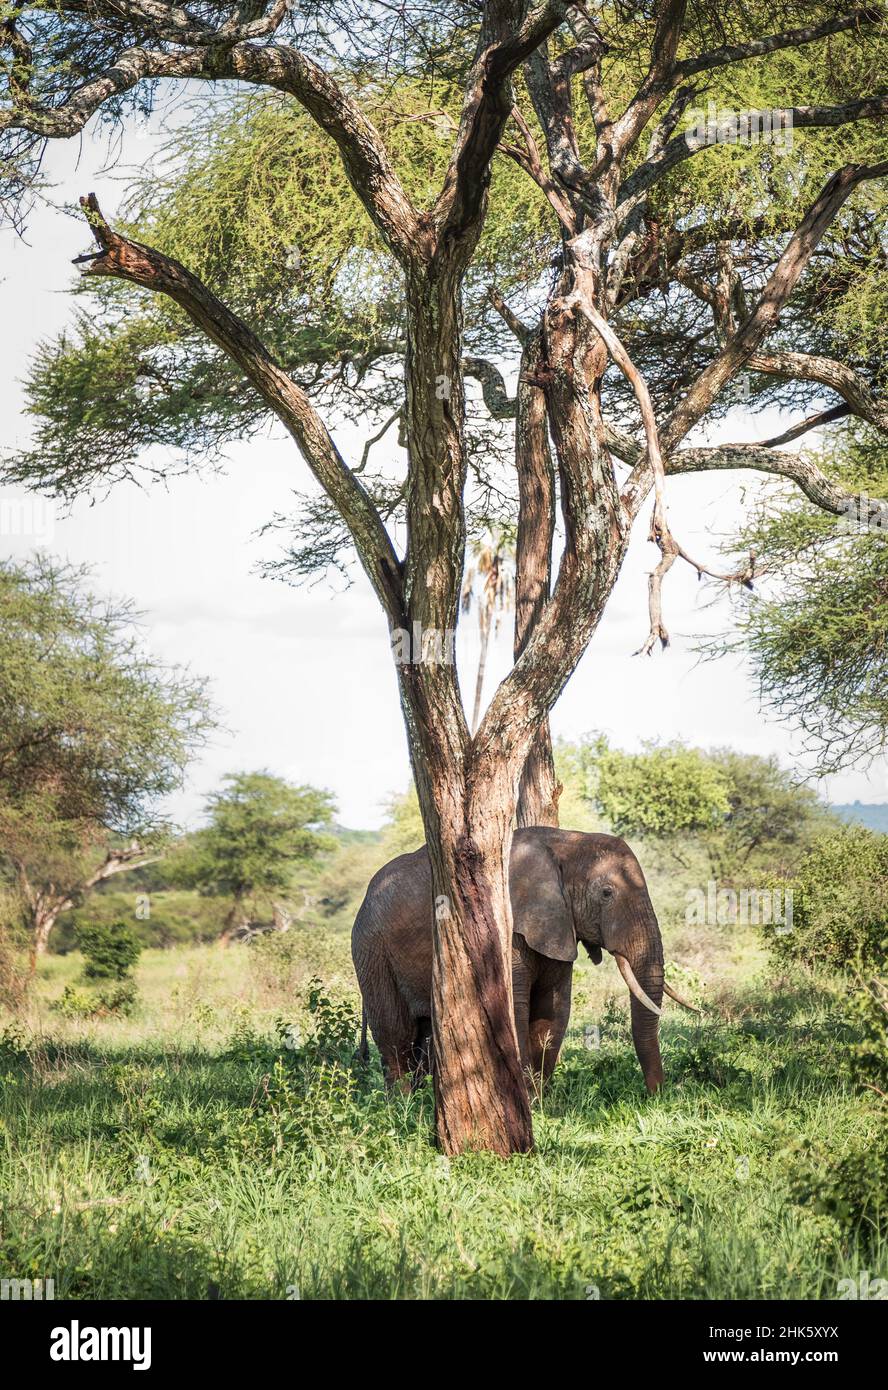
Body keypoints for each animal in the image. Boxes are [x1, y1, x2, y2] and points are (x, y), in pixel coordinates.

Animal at [352, 826, 696, 1095]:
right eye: (607, 893)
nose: (655, 1096)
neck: (566, 841)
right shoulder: (506, 925)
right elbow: (516, 1007)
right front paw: (529, 1101)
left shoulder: (558, 924)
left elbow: (553, 1010)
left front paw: (540, 1101)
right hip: (371, 951)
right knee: (395, 1033)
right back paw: (403, 1106)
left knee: (423, 1035)